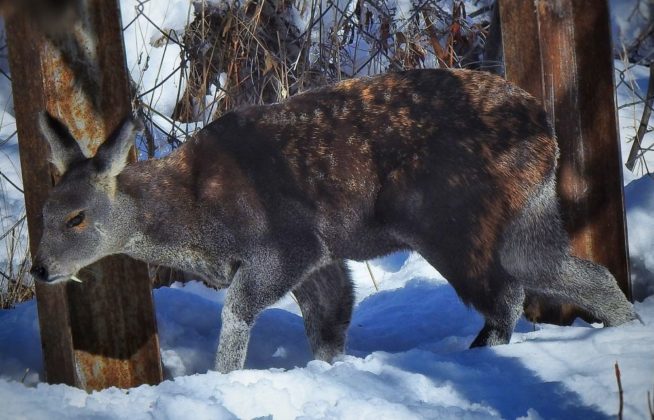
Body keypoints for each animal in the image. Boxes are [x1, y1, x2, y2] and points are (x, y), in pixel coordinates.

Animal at [30, 69, 636, 373]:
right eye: (44, 211)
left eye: (78, 217)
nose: (39, 269)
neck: (190, 219)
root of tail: (547, 133)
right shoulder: (323, 258)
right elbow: (329, 325)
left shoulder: (286, 242)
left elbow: (237, 311)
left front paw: (224, 379)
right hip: (527, 216)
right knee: (575, 272)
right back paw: (626, 328)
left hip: (450, 217)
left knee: (507, 295)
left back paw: (482, 357)